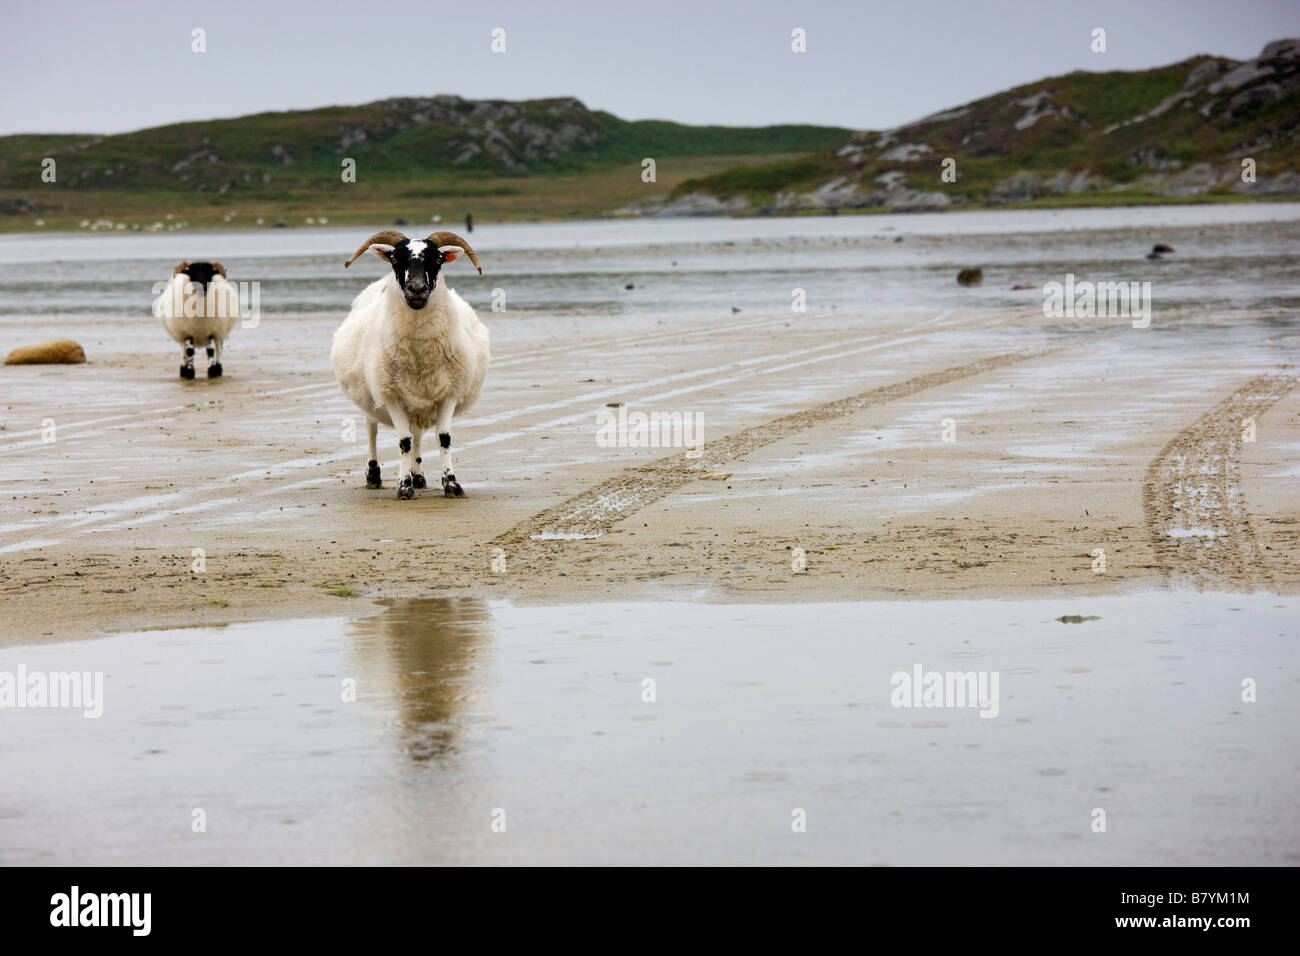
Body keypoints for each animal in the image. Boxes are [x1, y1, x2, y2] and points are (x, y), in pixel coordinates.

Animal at [331, 230, 488, 499]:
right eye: (395, 259)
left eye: (438, 260)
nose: (417, 289)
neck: (420, 355)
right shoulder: (391, 396)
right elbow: (403, 440)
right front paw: (404, 487)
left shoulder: (449, 393)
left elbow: (443, 438)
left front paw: (451, 484)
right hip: (371, 394)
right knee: (372, 430)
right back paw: (374, 476)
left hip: (418, 402)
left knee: (417, 434)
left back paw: (419, 475)